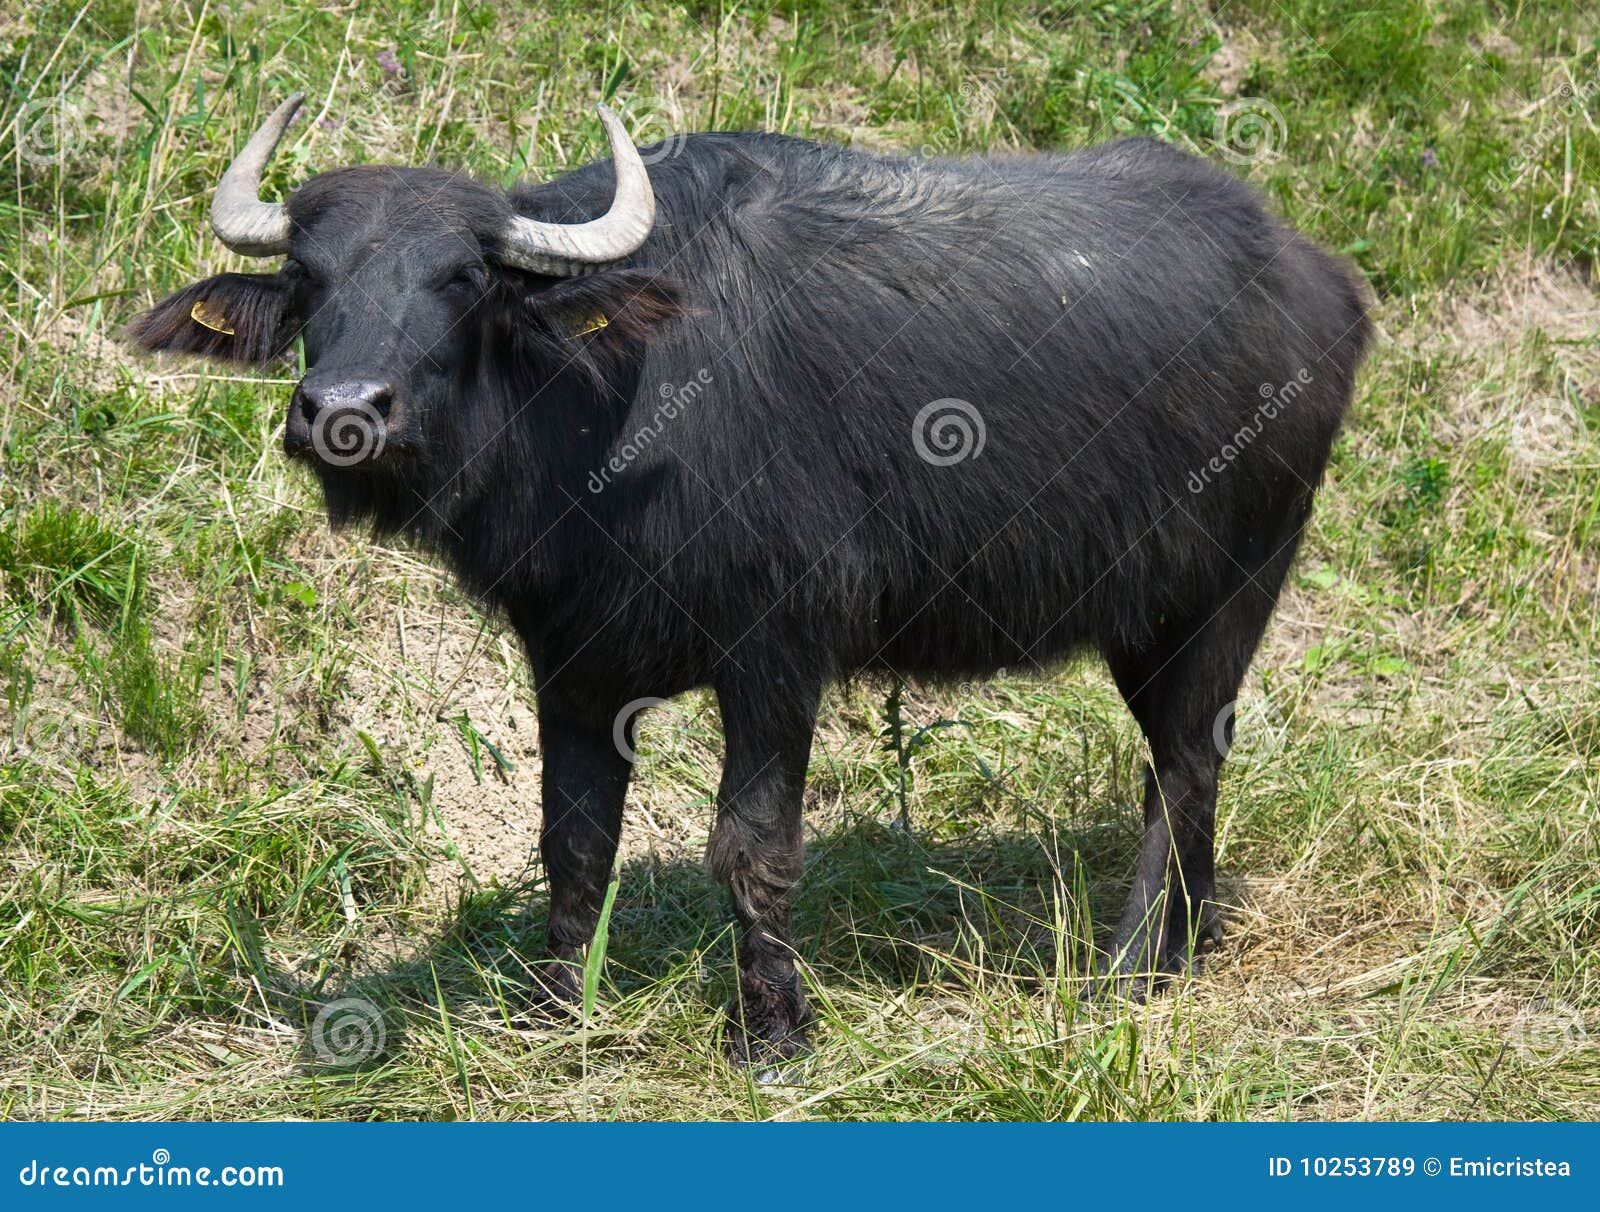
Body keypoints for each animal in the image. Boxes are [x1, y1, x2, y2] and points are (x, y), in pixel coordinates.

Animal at [132, 94, 1371, 1064]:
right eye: (308, 278)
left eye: (463, 276)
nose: (343, 413)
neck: (608, 409)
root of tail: (1314, 276)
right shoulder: (570, 663)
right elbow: (572, 840)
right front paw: (552, 1011)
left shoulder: (777, 657)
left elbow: (753, 846)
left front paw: (770, 1029)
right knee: (1189, 764)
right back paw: (1183, 947)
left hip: (1229, 593)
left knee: (1183, 769)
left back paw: (1124, 969)